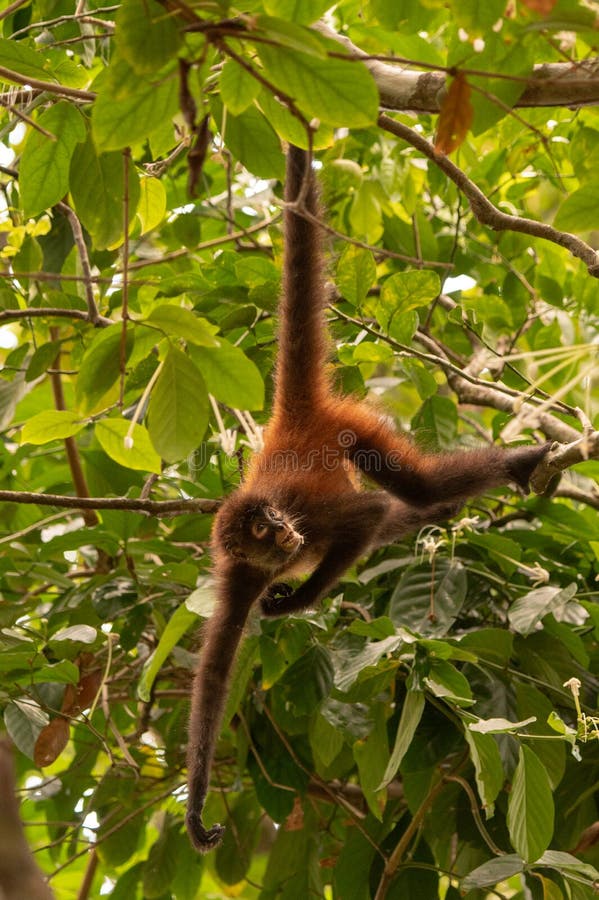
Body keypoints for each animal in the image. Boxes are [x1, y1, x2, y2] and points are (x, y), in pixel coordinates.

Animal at [185, 145, 549, 852]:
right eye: (262, 532)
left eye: (274, 519)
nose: (285, 534)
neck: (276, 555)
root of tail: (292, 420)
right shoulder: (238, 577)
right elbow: (213, 679)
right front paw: (194, 806)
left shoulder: (307, 520)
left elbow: (370, 515)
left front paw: (296, 601)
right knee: (415, 505)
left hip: (350, 428)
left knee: (409, 490)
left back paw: (516, 464)